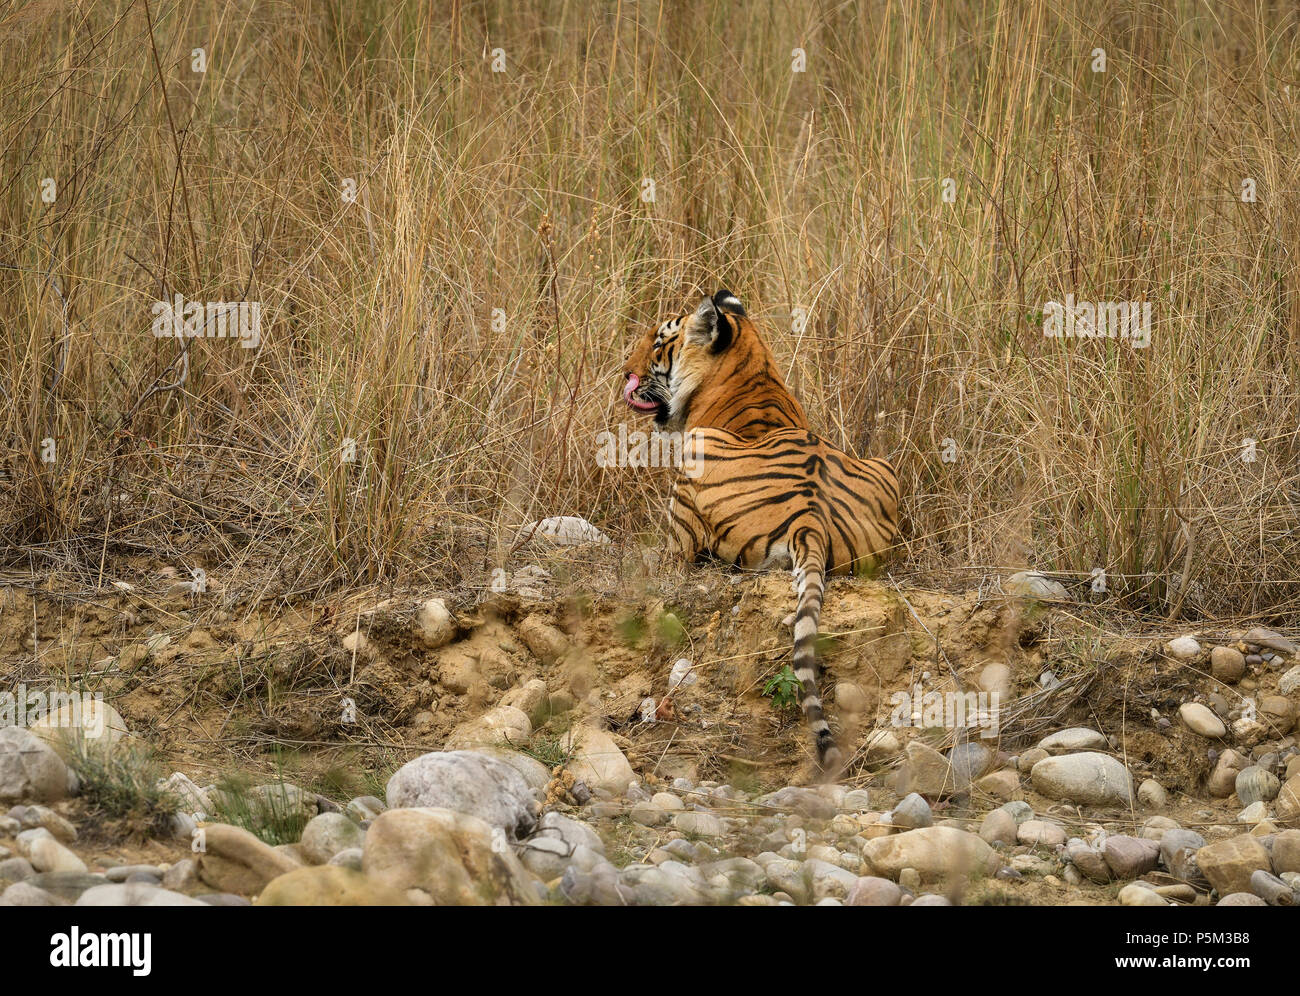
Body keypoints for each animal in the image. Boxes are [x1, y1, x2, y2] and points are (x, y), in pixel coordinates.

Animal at [622, 289, 900, 774]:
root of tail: (811, 515)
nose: (624, 371)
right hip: (886, 467)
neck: (751, 366)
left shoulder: (675, 540)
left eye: (658, 343)